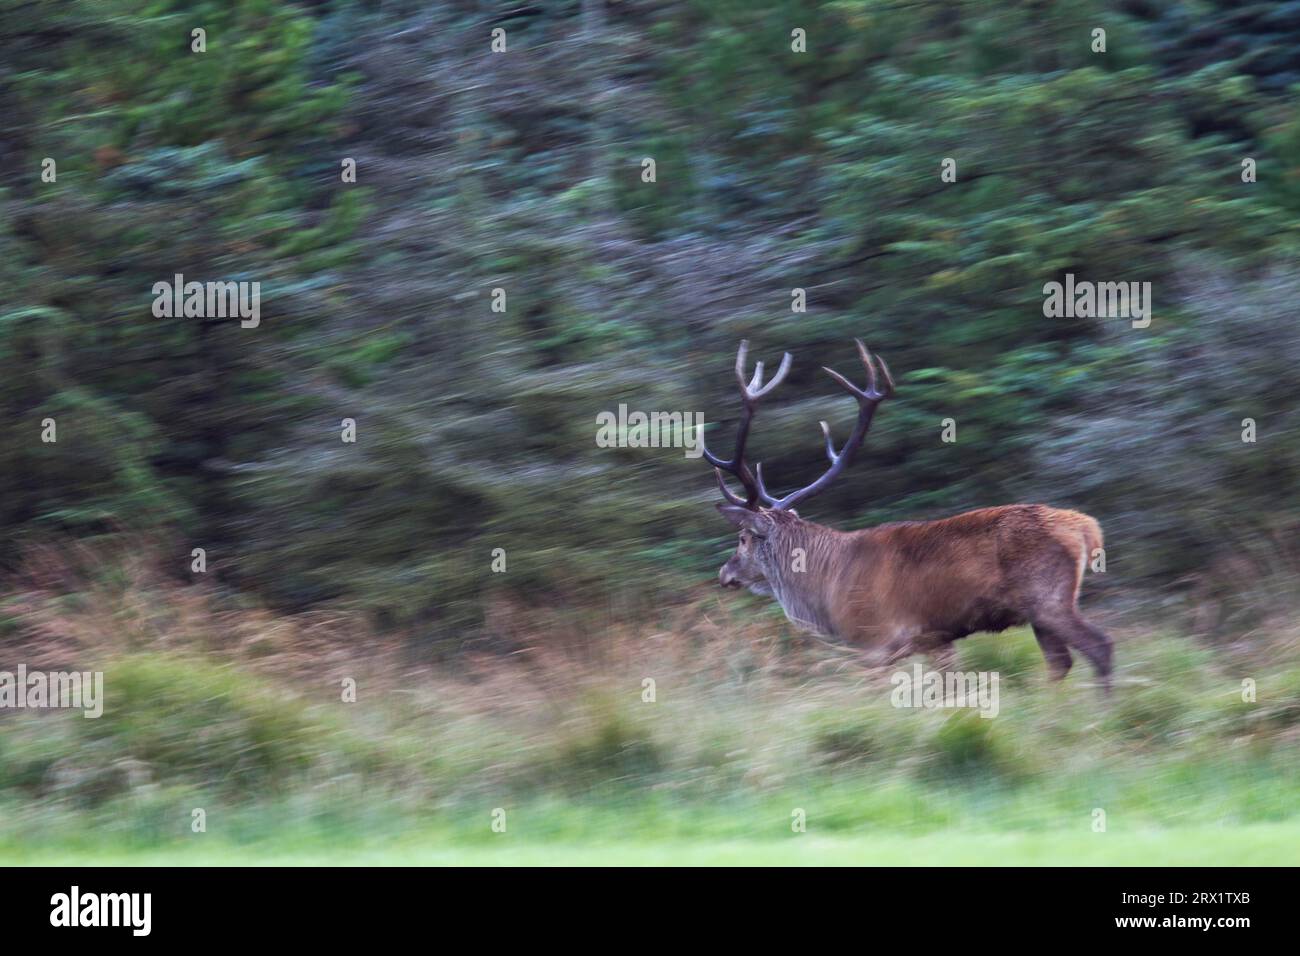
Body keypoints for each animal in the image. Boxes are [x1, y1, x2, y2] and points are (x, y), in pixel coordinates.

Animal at [704, 339, 1114, 689]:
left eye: (743, 538)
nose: (724, 573)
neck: (826, 586)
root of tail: (1088, 528)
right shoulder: (935, 640)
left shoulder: (873, 641)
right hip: (1041, 612)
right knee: (1060, 663)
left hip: (1048, 597)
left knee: (1100, 646)